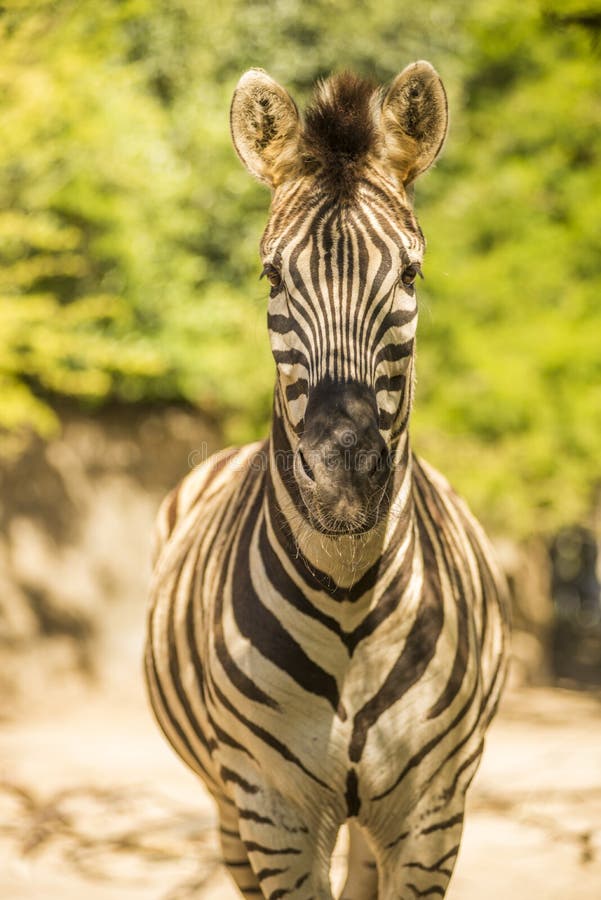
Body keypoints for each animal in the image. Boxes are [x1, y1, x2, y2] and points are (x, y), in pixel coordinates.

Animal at [145, 61, 509, 900]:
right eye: (271, 275)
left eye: (409, 272)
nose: (341, 478)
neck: (347, 599)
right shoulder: (271, 811)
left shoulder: (432, 816)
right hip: (229, 805)